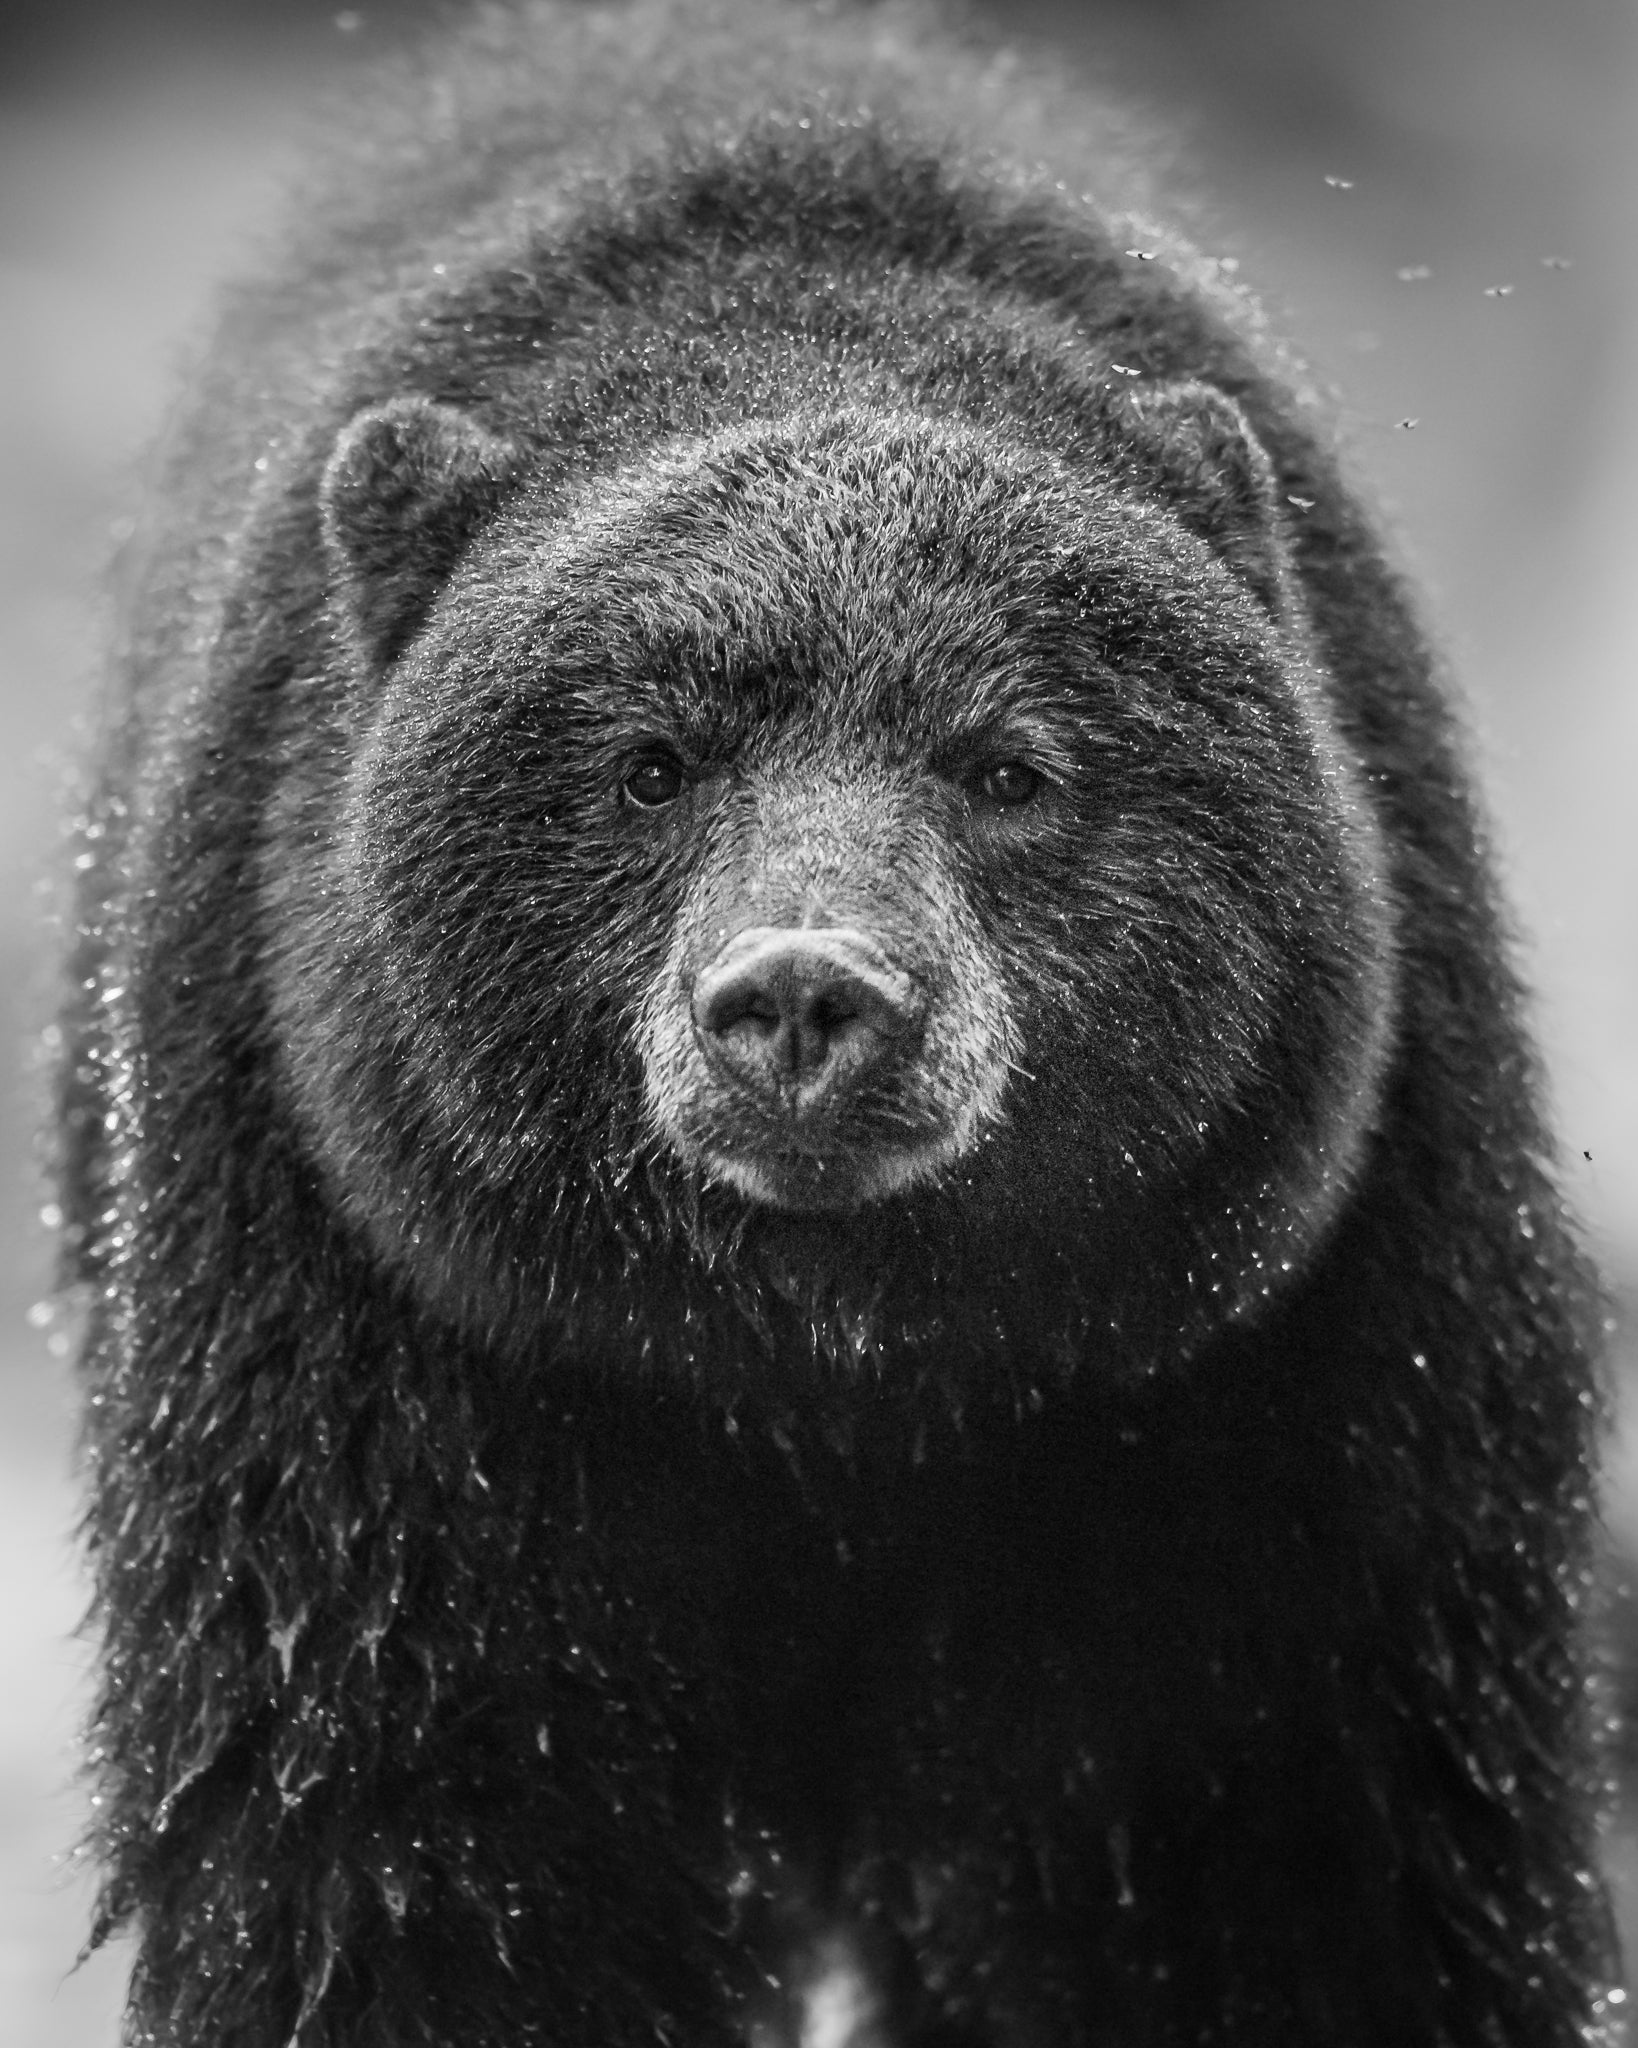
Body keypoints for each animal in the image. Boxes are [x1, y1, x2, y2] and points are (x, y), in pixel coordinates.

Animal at [58, 1, 1617, 2043]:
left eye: (1010, 764)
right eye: (647, 762)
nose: (806, 994)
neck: (836, 1375)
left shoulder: (1290, 1370)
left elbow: (1282, 1851)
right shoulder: (375, 1342)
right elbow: (400, 1836)